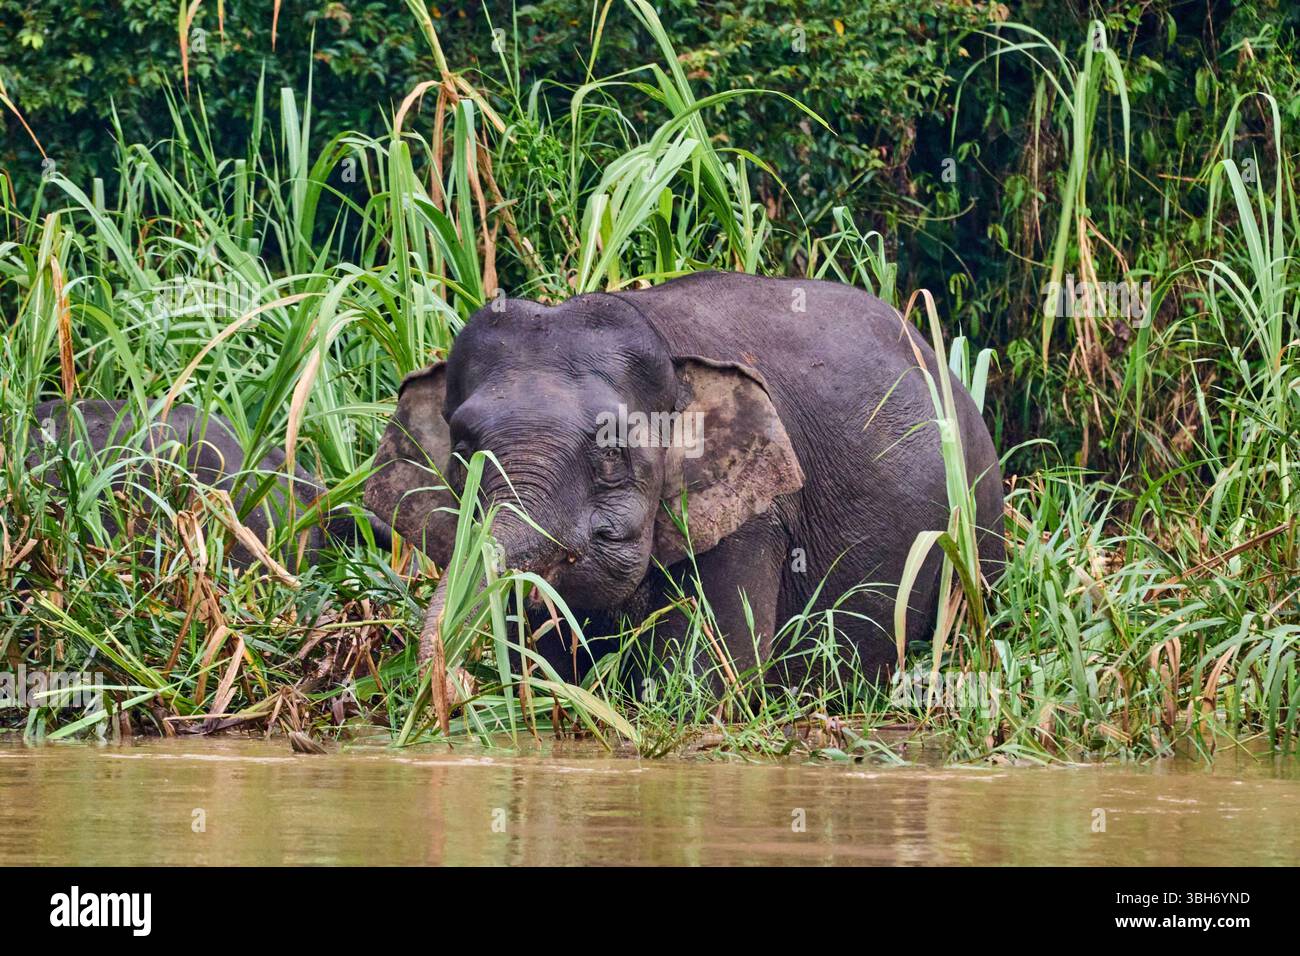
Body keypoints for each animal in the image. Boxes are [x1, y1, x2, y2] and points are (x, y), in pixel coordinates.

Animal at [365, 271, 1004, 689]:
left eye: (610, 451)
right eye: (464, 452)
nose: (448, 694)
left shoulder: (757, 517)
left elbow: (705, 680)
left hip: (980, 521)